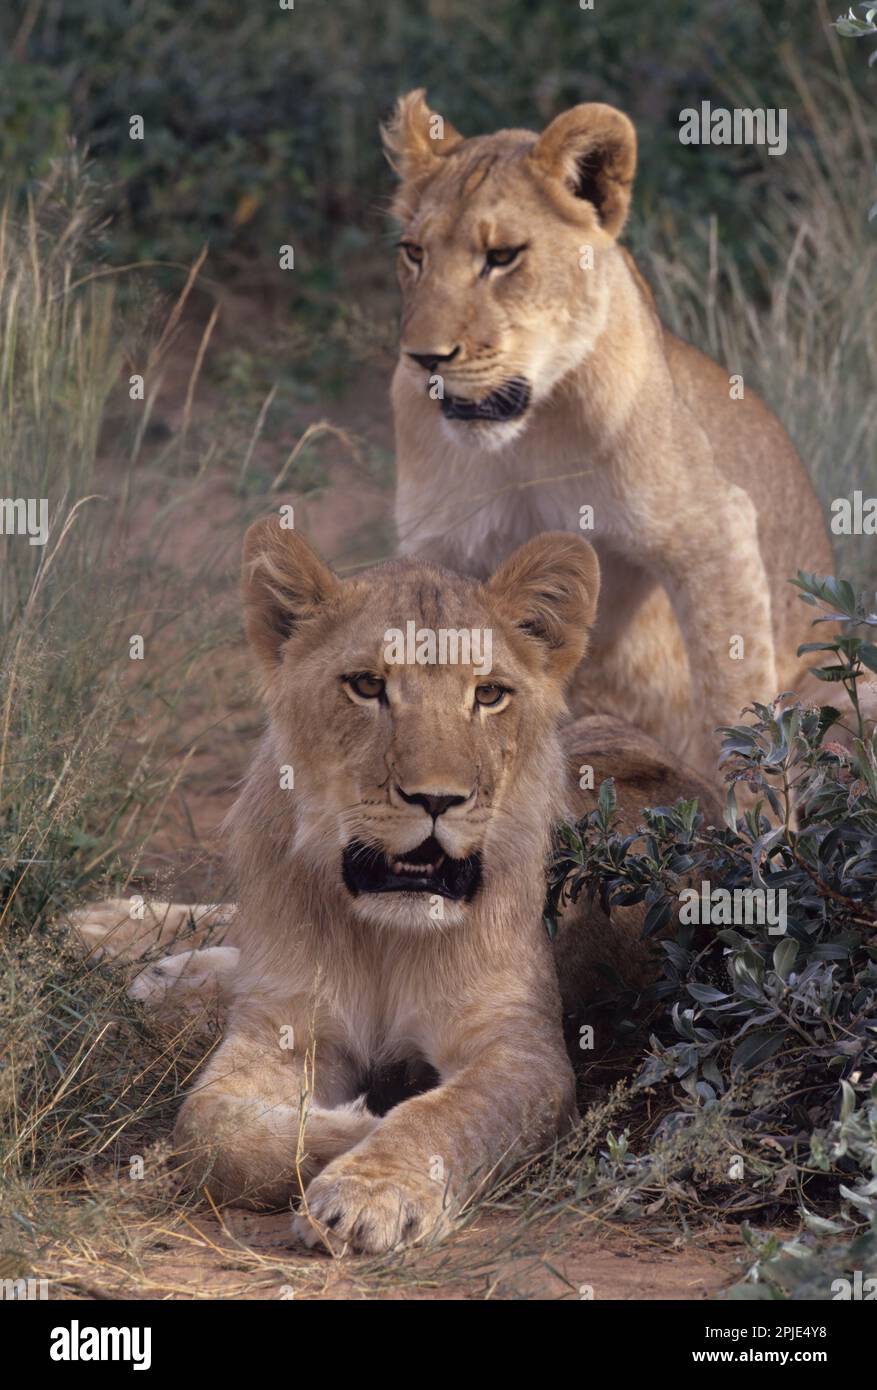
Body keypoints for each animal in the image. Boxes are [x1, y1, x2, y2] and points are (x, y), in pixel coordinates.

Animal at [72, 518, 717, 1254]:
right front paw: (352, 1126)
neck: (384, 934)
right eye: (365, 685)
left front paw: (368, 1187)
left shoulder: (521, 1049)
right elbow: (207, 1131)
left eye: (488, 694)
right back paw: (121, 940)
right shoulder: (280, 1023)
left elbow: (445, 1114)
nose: (436, 799)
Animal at [383, 90, 834, 782]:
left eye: (503, 256)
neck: (524, 440)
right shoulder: (439, 548)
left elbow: (736, 700)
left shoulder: (713, 529)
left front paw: (762, 811)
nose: (425, 358)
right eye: (414, 253)